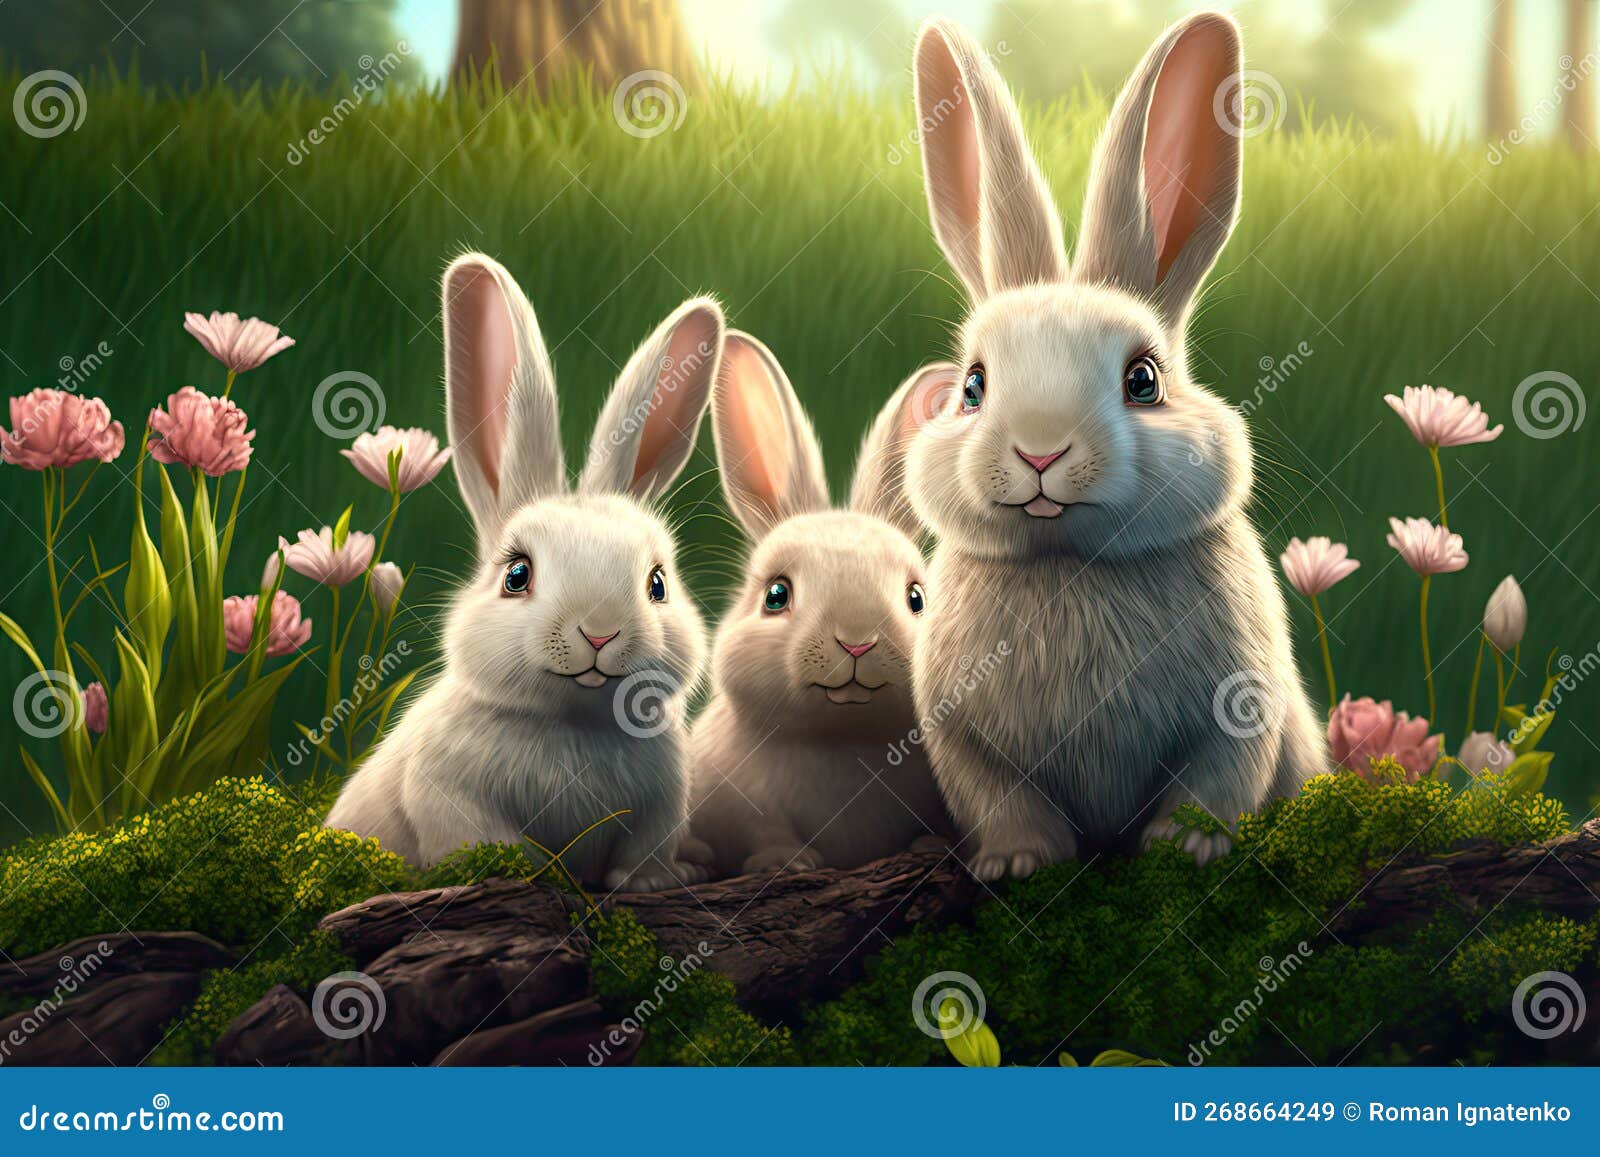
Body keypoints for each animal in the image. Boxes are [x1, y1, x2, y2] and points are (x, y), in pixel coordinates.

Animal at [325, 253, 722, 891]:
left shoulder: (663, 804)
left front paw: (655, 882)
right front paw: (528, 875)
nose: (599, 633)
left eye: (658, 584)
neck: (574, 724)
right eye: (516, 575)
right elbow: (489, 840)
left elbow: (645, 850)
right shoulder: (448, 793)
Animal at [682, 331, 958, 876]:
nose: (856, 643)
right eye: (776, 595)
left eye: (917, 598)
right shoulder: (736, 804)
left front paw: (932, 848)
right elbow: (763, 831)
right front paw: (787, 863)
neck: (840, 739)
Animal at [901, 13, 1326, 880]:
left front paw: (1191, 846)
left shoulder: (1242, 704)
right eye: (972, 386)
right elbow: (1003, 800)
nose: (1040, 453)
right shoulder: (963, 738)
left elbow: (1217, 780)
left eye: (1144, 380)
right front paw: (1017, 862)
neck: (1070, 561)